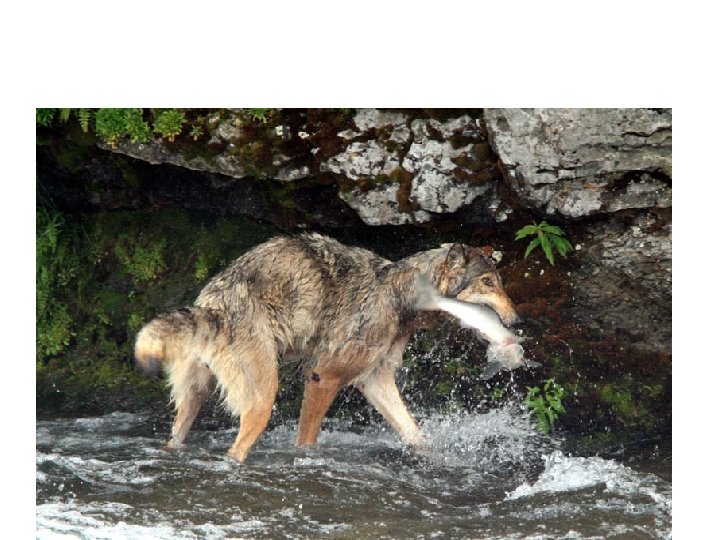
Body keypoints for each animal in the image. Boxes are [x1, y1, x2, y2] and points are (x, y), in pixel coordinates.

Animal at [135, 233, 520, 462]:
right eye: (488, 283)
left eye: (500, 282)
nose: (517, 322)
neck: (399, 294)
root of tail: (212, 305)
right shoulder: (324, 377)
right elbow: (306, 441)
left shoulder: (375, 380)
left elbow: (414, 433)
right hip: (262, 400)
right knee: (236, 449)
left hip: (193, 400)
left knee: (176, 437)